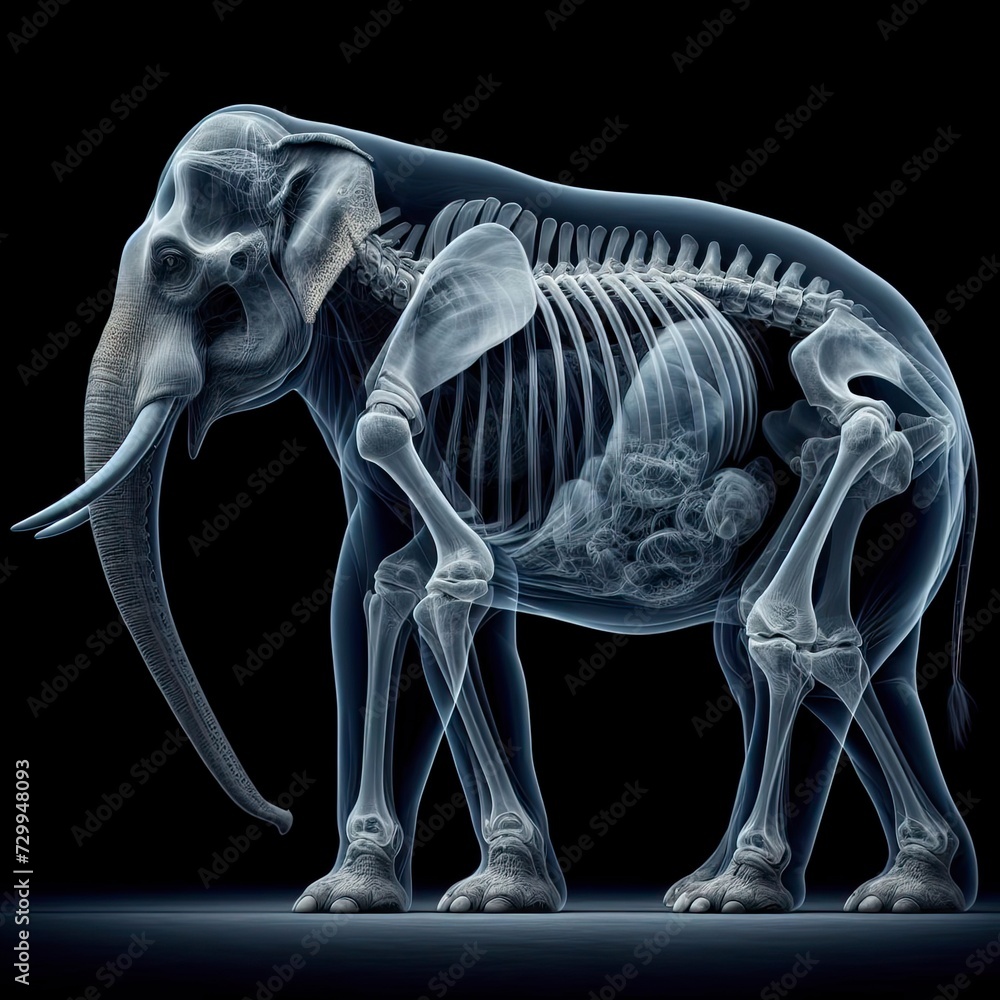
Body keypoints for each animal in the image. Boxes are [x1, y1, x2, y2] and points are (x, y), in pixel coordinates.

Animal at [15, 105, 977, 915]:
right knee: (821, 641)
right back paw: (863, 879)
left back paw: (762, 885)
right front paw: (363, 884)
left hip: (870, 440)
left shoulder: (415, 444)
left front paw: (502, 882)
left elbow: (443, 567)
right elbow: (389, 592)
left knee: (796, 599)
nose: (280, 822)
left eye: (175, 264)